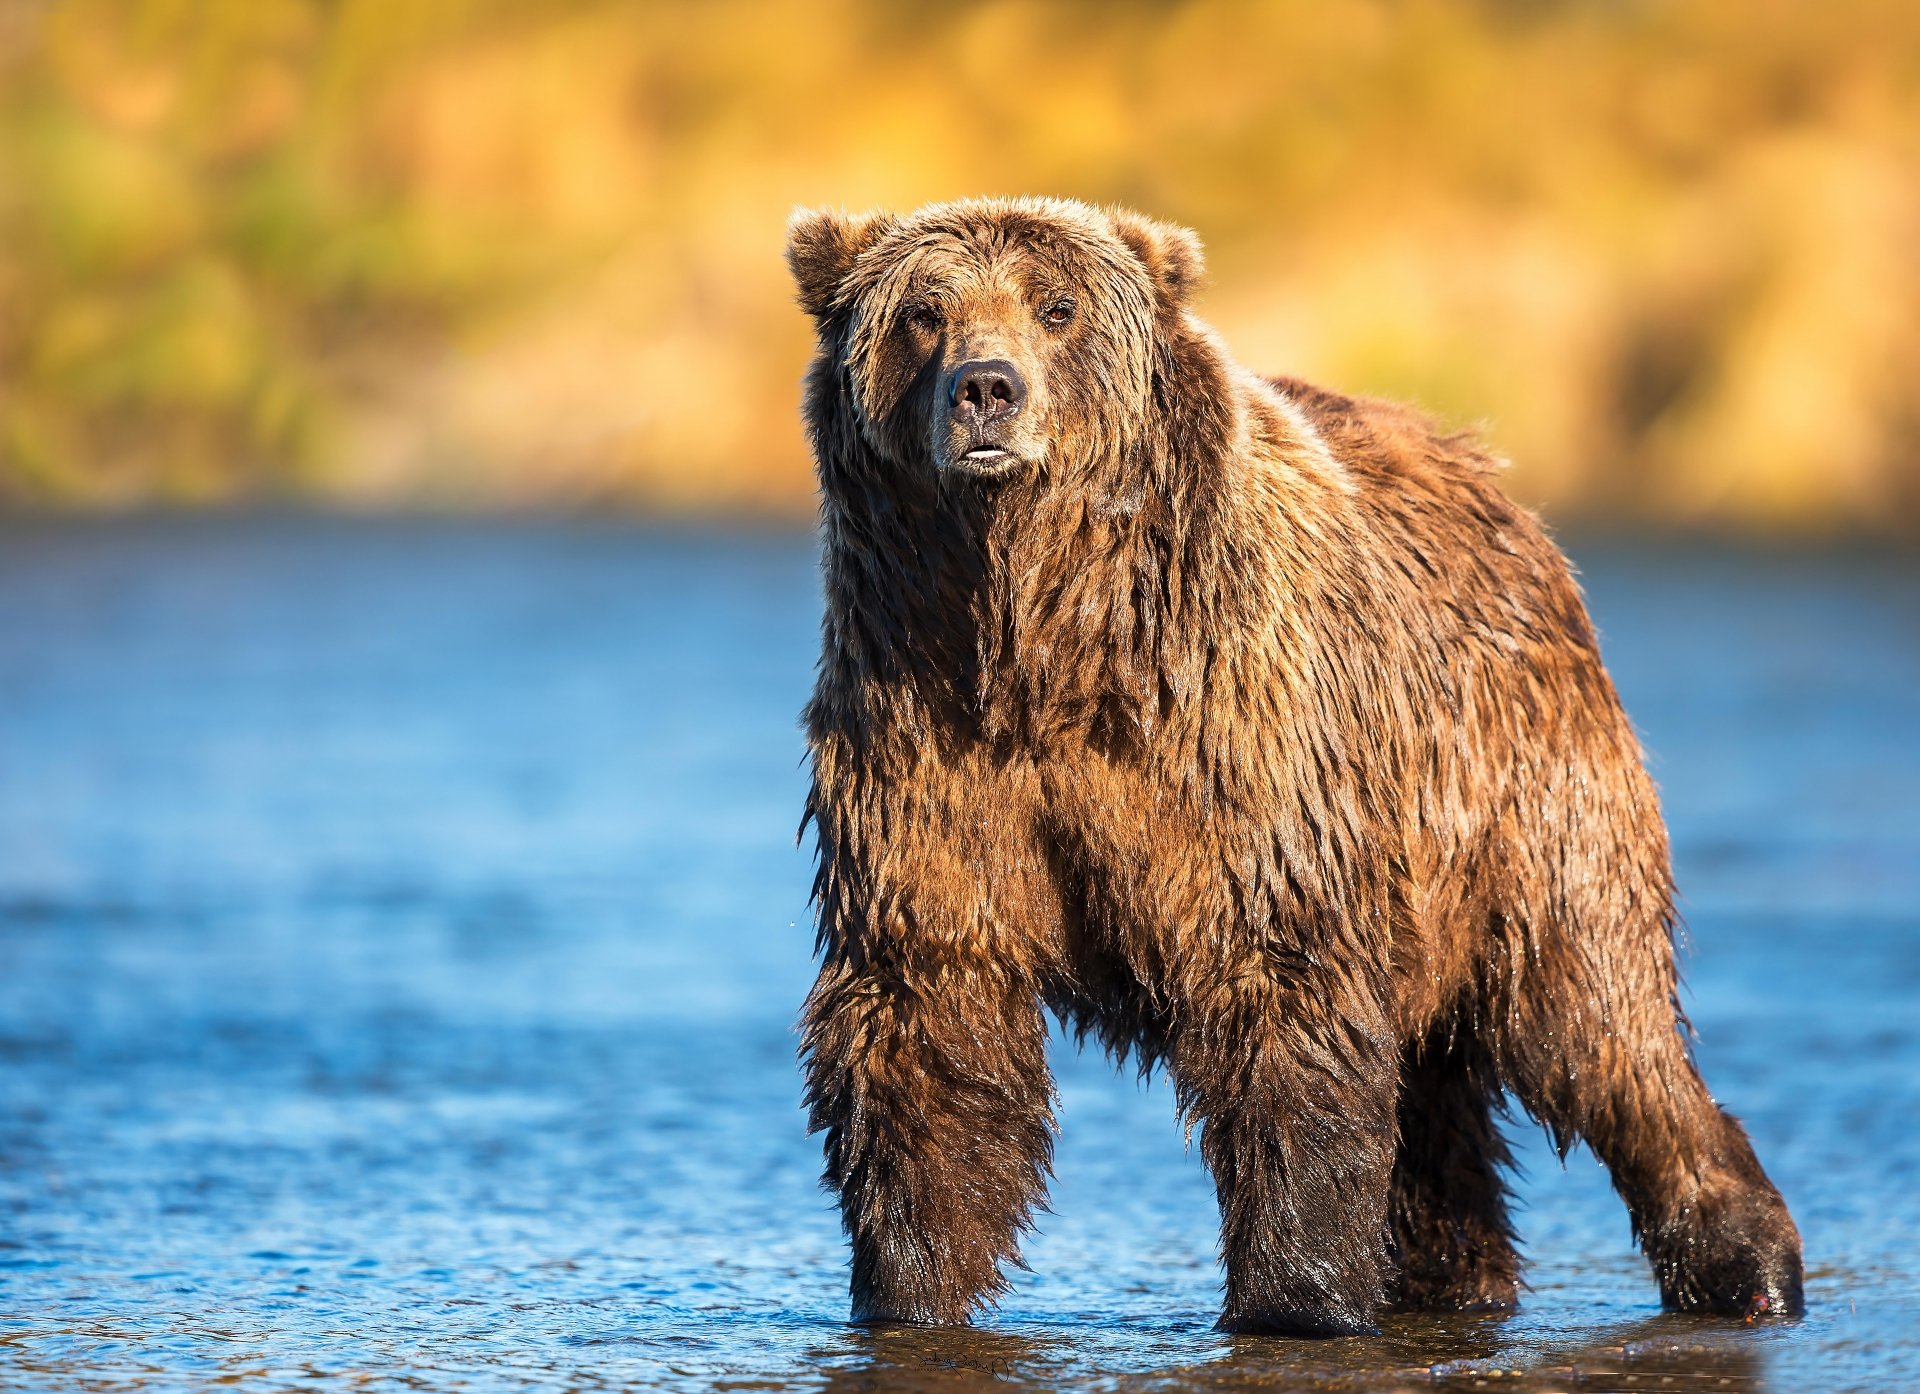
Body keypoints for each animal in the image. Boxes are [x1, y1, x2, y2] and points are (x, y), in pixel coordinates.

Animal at [785, 196, 1803, 1337]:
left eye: (1057, 308)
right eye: (924, 312)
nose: (987, 389)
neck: (1044, 644)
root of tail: (1496, 484)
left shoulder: (1241, 755)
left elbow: (1284, 995)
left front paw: (1297, 1296)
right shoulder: (927, 748)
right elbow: (928, 1010)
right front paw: (908, 1285)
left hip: (1520, 792)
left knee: (1598, 1016)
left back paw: (1746, 1263)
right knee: (1440, 1100)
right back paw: (1453, 1275)